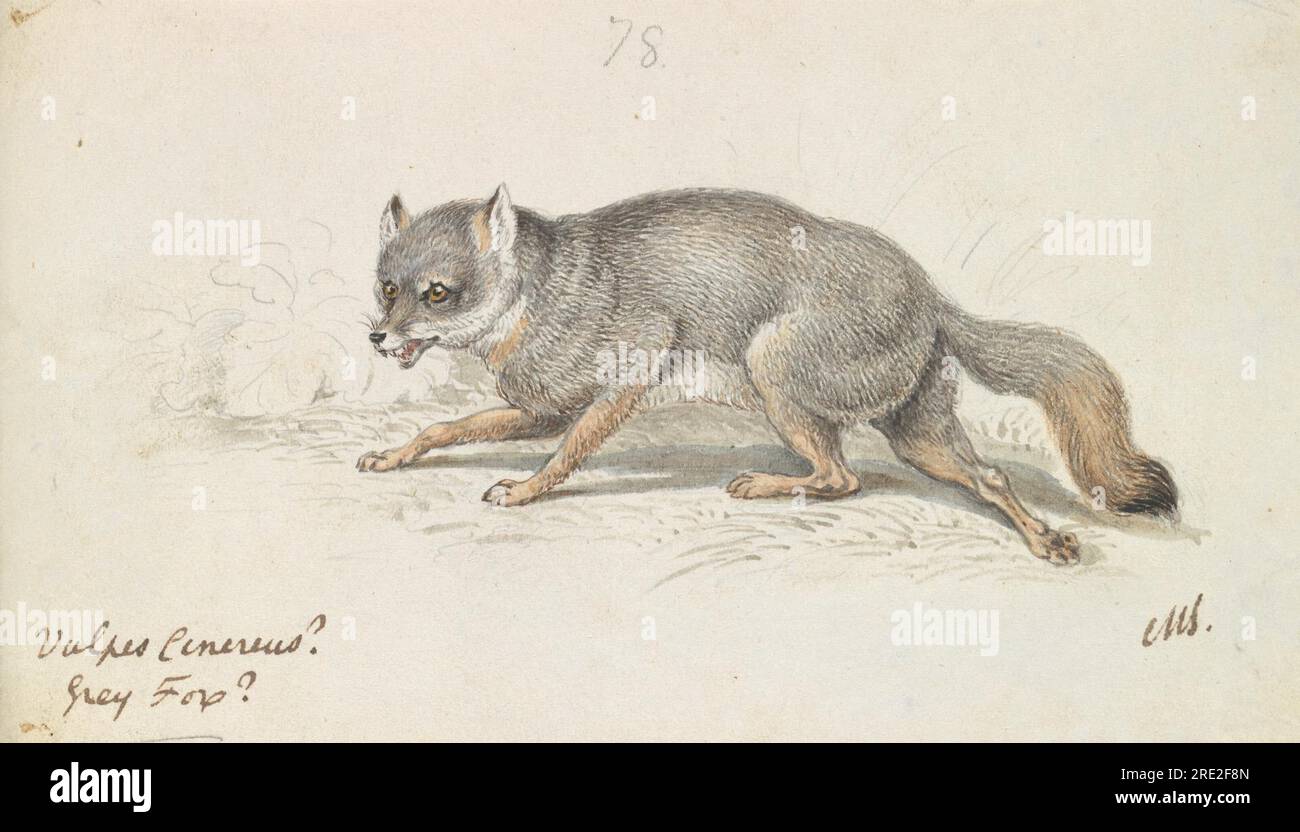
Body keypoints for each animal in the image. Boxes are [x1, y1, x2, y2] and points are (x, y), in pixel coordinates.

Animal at [357, 185, 1177, 565]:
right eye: (387, 287)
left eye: (438, 293)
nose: (376, 336)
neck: (540, 286)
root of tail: (931, 296)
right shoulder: (539, 406)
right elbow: (444, 426)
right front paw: (391, 455)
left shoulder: (626, 375)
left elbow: (564, 454)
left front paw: (525, 490)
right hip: (918, 431)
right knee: (982, 477)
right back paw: (1046, 540)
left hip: (773, 369)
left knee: (842, 475)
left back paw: (765, 484)